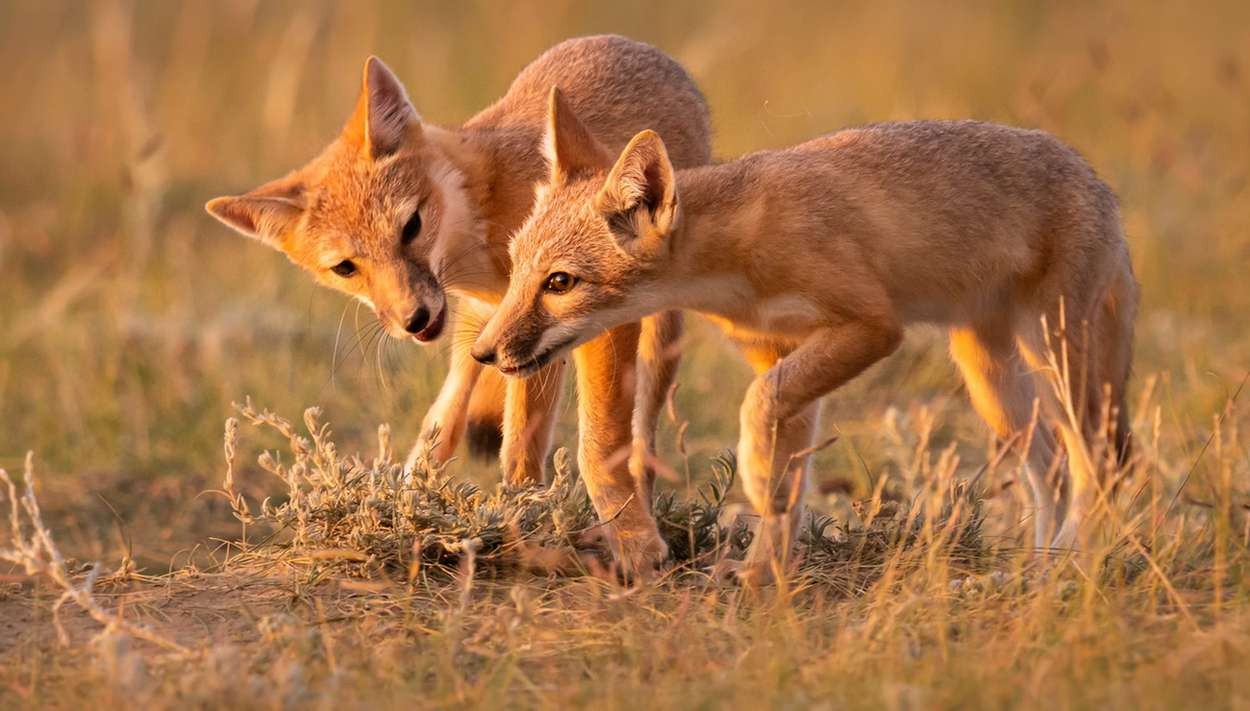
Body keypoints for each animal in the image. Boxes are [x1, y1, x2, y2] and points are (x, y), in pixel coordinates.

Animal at [205, 37, 711, 573]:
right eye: (345, 268)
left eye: (411, 226)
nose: (413, 319)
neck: (489, 228)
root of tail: (637, 46)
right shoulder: (504, 334)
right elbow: (494, 440)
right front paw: (522, 527)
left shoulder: (598, 325)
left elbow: (597, 445)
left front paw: (633, 540)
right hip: (488, 337)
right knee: (450, 419)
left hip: (656, 337)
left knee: (641, 437)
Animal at [473, 93, 1138, 584]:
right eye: (517, 267)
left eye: (560, 283)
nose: (484, 352)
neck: (739, 251)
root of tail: (1100, 184)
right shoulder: (786, 353)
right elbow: (789, 474)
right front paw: (761, 573)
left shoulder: (871, 328)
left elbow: (758, 408)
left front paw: (754, 486)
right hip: (992, 381)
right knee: (1053, 472)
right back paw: (1038, 570)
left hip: (1056, 363)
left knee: (1100, 466)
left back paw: (1071, 562)